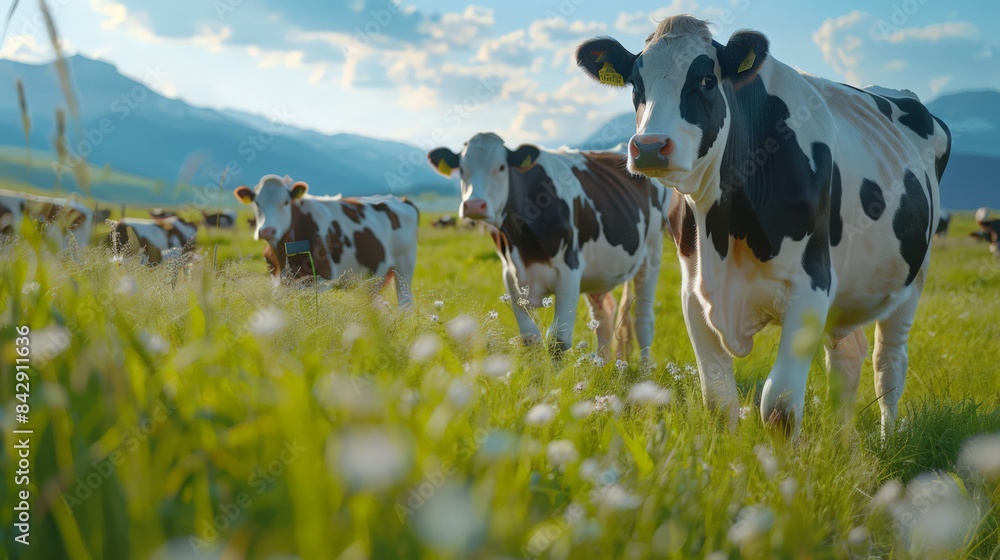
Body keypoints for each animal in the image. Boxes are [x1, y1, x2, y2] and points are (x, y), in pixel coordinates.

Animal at [233, 174, 419, 307]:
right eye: (257, 203)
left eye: (286, 202)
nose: (266, 230)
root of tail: (400, 199)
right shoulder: (278, 279)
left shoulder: (321, 278)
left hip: (404, 265)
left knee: (406, 304)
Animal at [427, 133, 669, 360]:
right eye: (461, 169)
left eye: (502, 167)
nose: (474, 205)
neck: (522, 244)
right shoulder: (510, 273)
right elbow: (530, 338)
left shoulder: (569, 270)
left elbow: (558, 341)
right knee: (603, 315)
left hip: (652, 254)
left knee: (643, 320)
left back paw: (645, 370)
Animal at [577, 15, 951, 438]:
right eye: (635, 84)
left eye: (706, 80)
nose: (651, 147)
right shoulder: (693, 293)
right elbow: (718, 402)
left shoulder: (811, 286)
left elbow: (779, 407)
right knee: (847, 357)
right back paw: (841, 442)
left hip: (912, 280)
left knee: (888, 363)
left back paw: (887, 439)